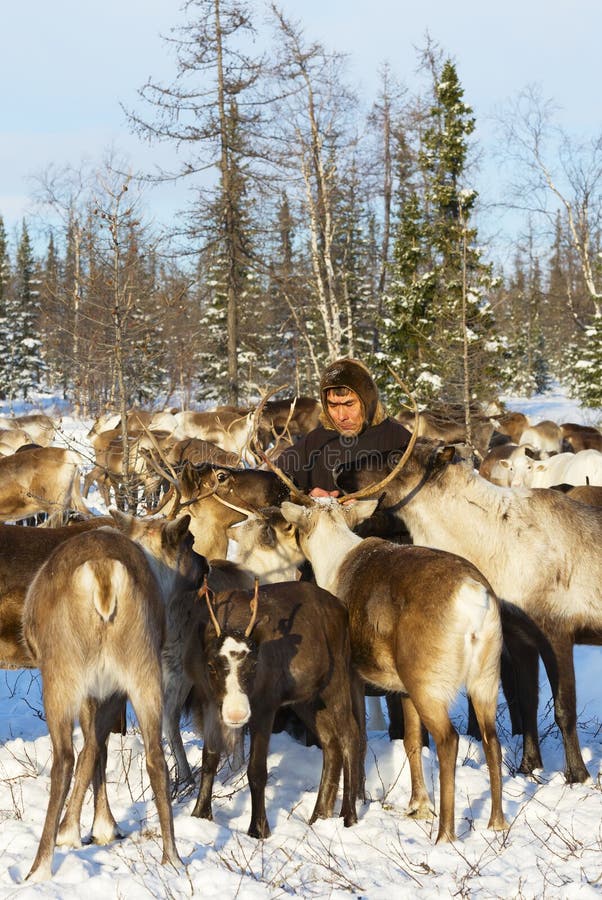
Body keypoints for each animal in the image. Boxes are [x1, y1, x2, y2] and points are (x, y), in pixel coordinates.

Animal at [21, 511, 206, 881]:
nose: (206, 564)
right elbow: (98, 747)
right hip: (143, 667)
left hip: (62, 673)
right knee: (155, 756)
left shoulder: (92, 690)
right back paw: (172, 859)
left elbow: (91, 749)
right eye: (191, 541)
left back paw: (39, 868)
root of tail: (104, 574)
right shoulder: (113, 688)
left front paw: (72, 832)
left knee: (63, 758)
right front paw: (100, 828)